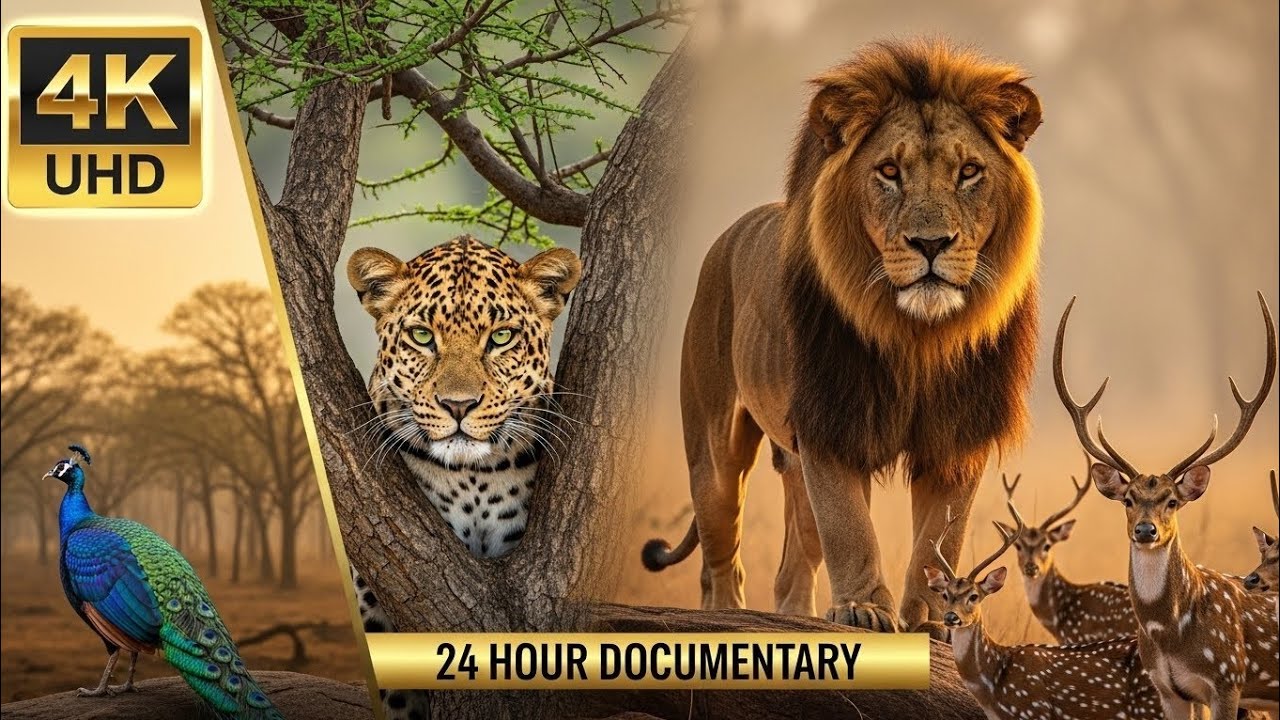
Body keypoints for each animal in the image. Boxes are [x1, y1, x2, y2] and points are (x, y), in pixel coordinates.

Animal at [643, 39, 1044, 636]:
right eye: (889, 171)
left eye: (969, 171)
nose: (931, 243)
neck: (918, 337)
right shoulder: (831, 421)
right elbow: (849, 525)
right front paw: (863, 609)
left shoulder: (959, 433)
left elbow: (940, 538)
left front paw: (934, 618)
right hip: (713, 446)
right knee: (721, 557)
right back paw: (726, 616)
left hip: (790, 463)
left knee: (791, 568)